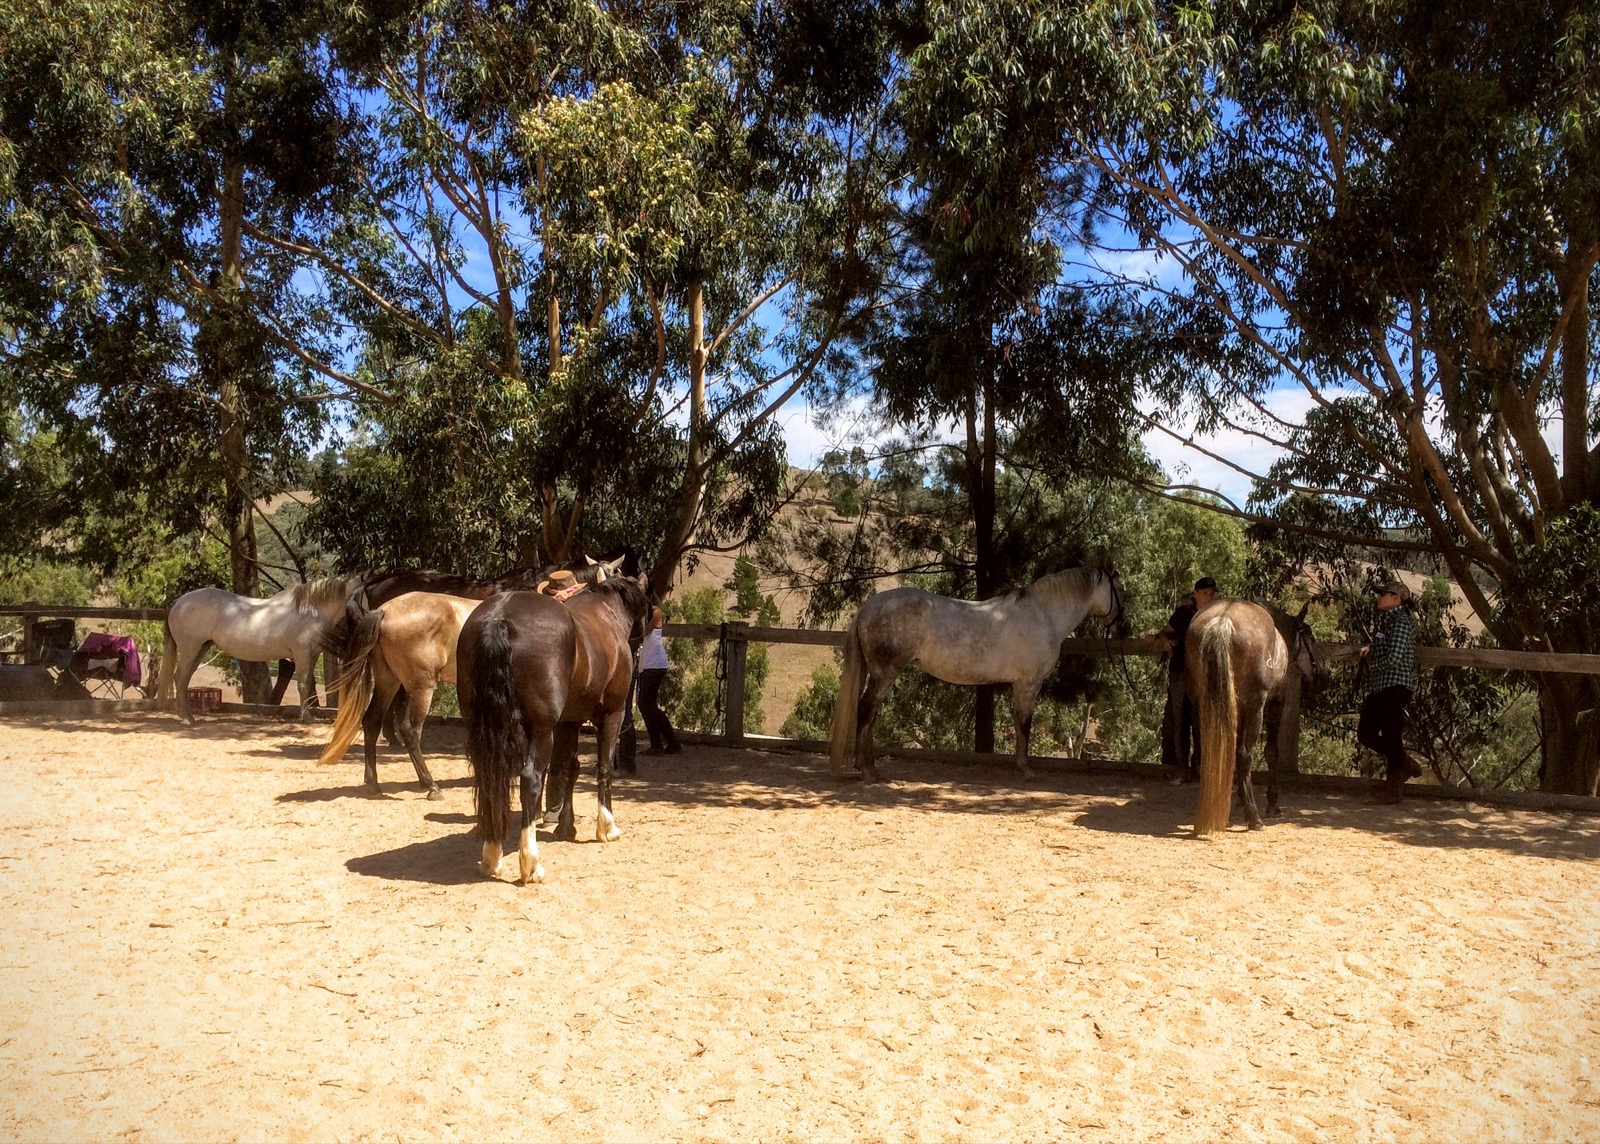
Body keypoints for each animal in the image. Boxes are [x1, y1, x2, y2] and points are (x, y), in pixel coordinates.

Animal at [159, 576, 363, 723]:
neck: (311, 610)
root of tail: (179, 602)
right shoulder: (302, 653)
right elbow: (303, 684)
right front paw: (307, 718)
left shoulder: (311, 656)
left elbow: (307, 685)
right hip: (190, 649)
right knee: (180, 678)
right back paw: (187, 719)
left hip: (200, 648)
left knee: (183, 679)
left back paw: (186, 716)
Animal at [316, 591, 484, 799]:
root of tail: (384, 611)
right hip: (421, 688)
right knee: (411, 732)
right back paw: (431, 786)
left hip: (389, 683)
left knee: (372, 722)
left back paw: (374, 785)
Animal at [459, 576, 650, 885]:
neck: (606, 614)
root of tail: (499, 618)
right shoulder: (612, 714)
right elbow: (604, 768)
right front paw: (607, 827)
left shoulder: (569, 722)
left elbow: (569, 770)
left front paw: (566, 826)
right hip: (541, 729)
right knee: (530, 780)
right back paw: (531, 863)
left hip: (480, 728)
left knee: (488, 777)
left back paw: (492, 856)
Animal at [827, 565, 1126, 782]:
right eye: (1120, 589)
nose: (1124, 628)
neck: (1043, 614)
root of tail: (868, 606)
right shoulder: (1029, 683)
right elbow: (1024, 724)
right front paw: (1026, 769)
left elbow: (1019, 723)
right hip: (885, 673)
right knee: (866, 710)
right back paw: (866, 770)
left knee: (871, 713)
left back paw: (872, 767)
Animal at [1186, 600, 1321, 837]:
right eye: (1311, 639)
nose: (1320, 675)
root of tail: (1222, 620)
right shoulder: (1274, 703)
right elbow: (1271, 753)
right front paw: (1272, 804)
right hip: (1256, 708)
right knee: (1244, 756)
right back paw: (1253, 817)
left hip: (1201, 704)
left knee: (1206, 753)